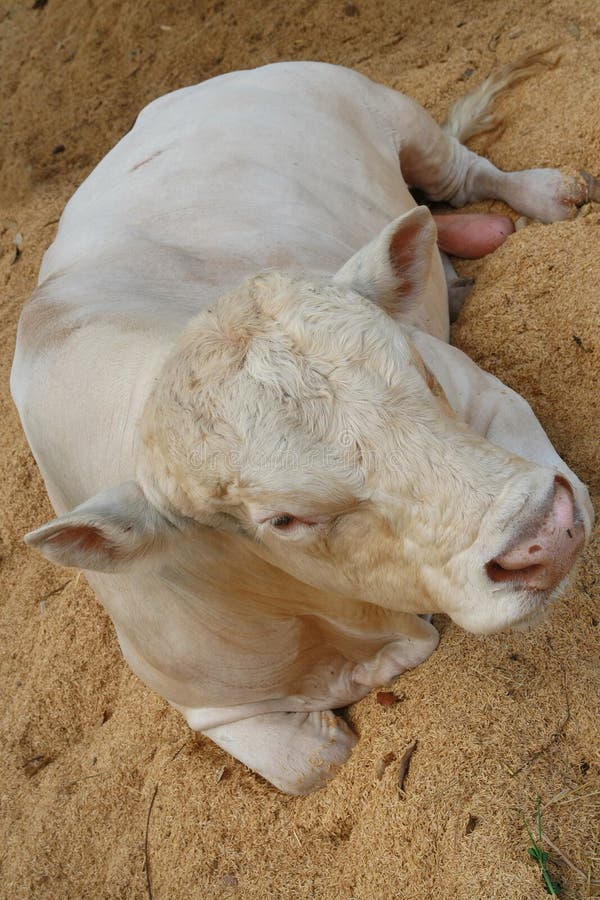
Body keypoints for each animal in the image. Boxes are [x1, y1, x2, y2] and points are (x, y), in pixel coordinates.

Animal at [11, 52, 597, 794]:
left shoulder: (491, 400)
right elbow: (313, 765)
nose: (545, 536)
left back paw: (545, 194)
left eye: (421, 373)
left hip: (390, 111)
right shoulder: (203, 698)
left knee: (464, 171)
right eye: (284, 520)